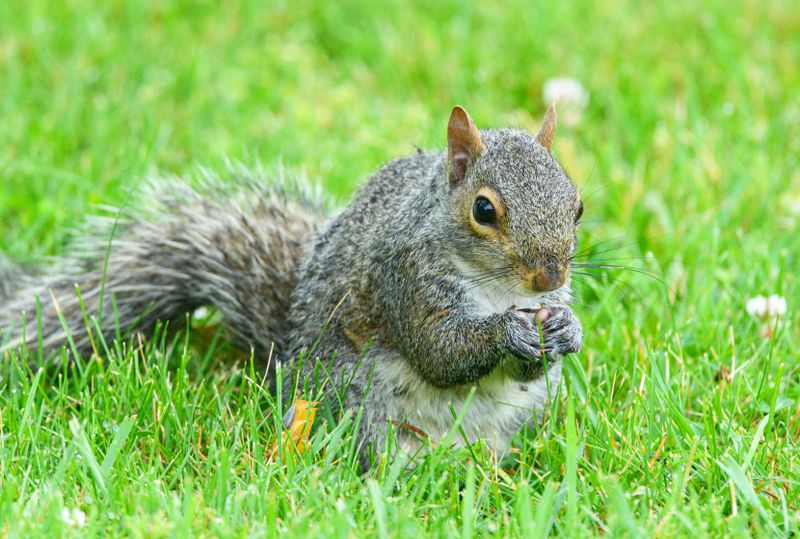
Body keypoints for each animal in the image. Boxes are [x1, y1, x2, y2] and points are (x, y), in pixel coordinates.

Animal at [0, 105, 583, 467]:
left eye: (576, 206)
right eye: (484, 210)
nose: (550, 275)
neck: (498, 287)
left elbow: (530, 364)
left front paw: (566, 330)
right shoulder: (404, 278)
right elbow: (439, 350)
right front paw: (509, 332)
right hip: (360, 403)